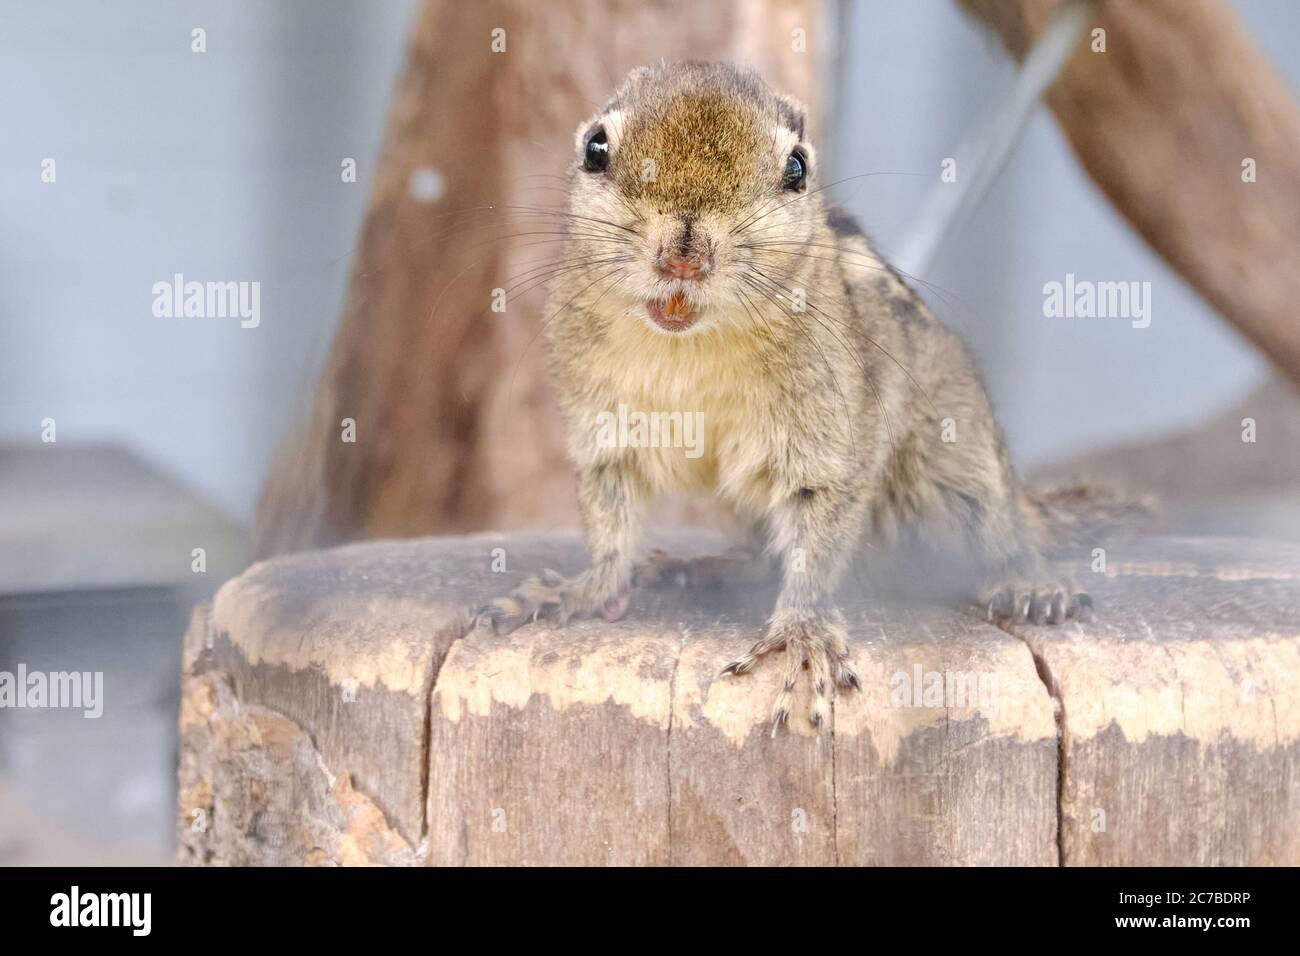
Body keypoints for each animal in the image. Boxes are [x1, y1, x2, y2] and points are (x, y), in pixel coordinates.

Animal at [478, 60, 1136, 733]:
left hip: (958, 453)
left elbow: (817, 541)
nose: (685, 253)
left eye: (796, 168)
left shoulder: (830, 439)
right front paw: (581, 591)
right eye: (595, 149)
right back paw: (698, 568)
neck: (691, 344)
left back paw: (1030, 583)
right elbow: (610, 524)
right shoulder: (605, 432)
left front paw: (802, 633)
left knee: (996, 524)